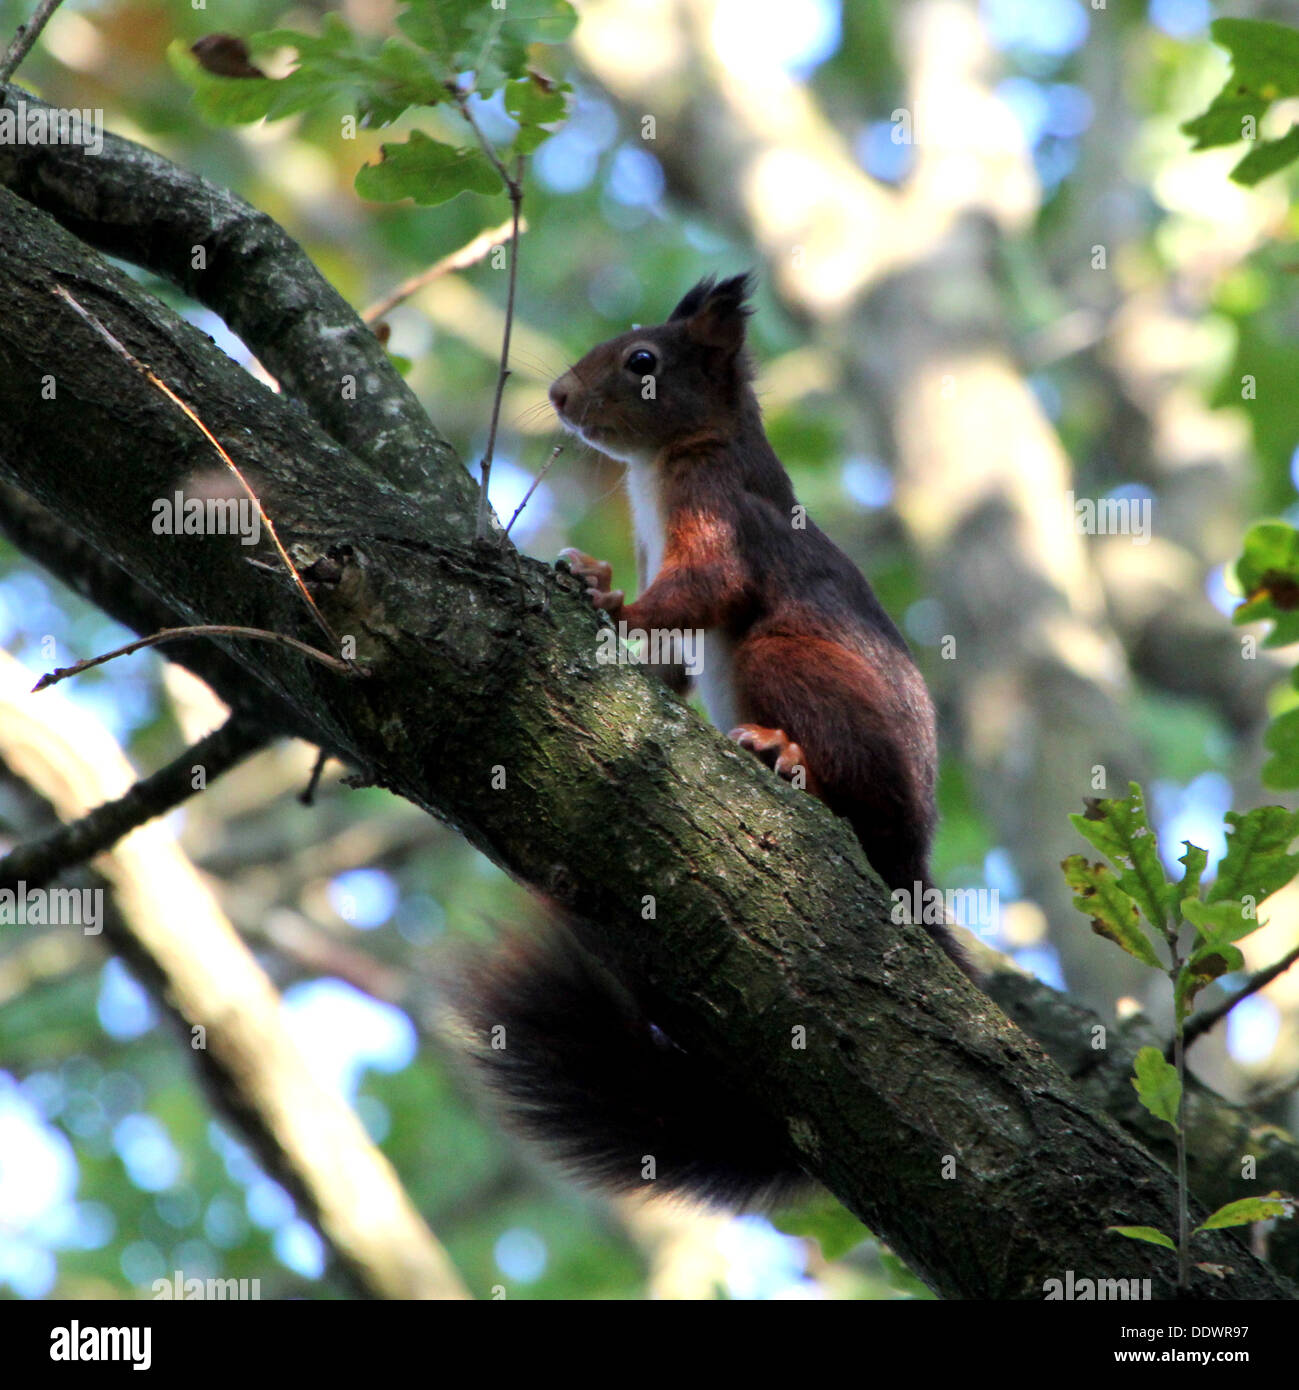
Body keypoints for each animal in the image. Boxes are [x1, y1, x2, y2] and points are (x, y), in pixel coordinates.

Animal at [451, 274, 970, 1208]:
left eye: (642, 360)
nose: (559, 396)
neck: (667, 461)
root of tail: (914, 854)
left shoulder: (717, 512)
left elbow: (701, 589)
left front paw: (609, 601)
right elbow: (668, 663)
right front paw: (595, 579)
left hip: (792, 667)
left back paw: (781, 755)